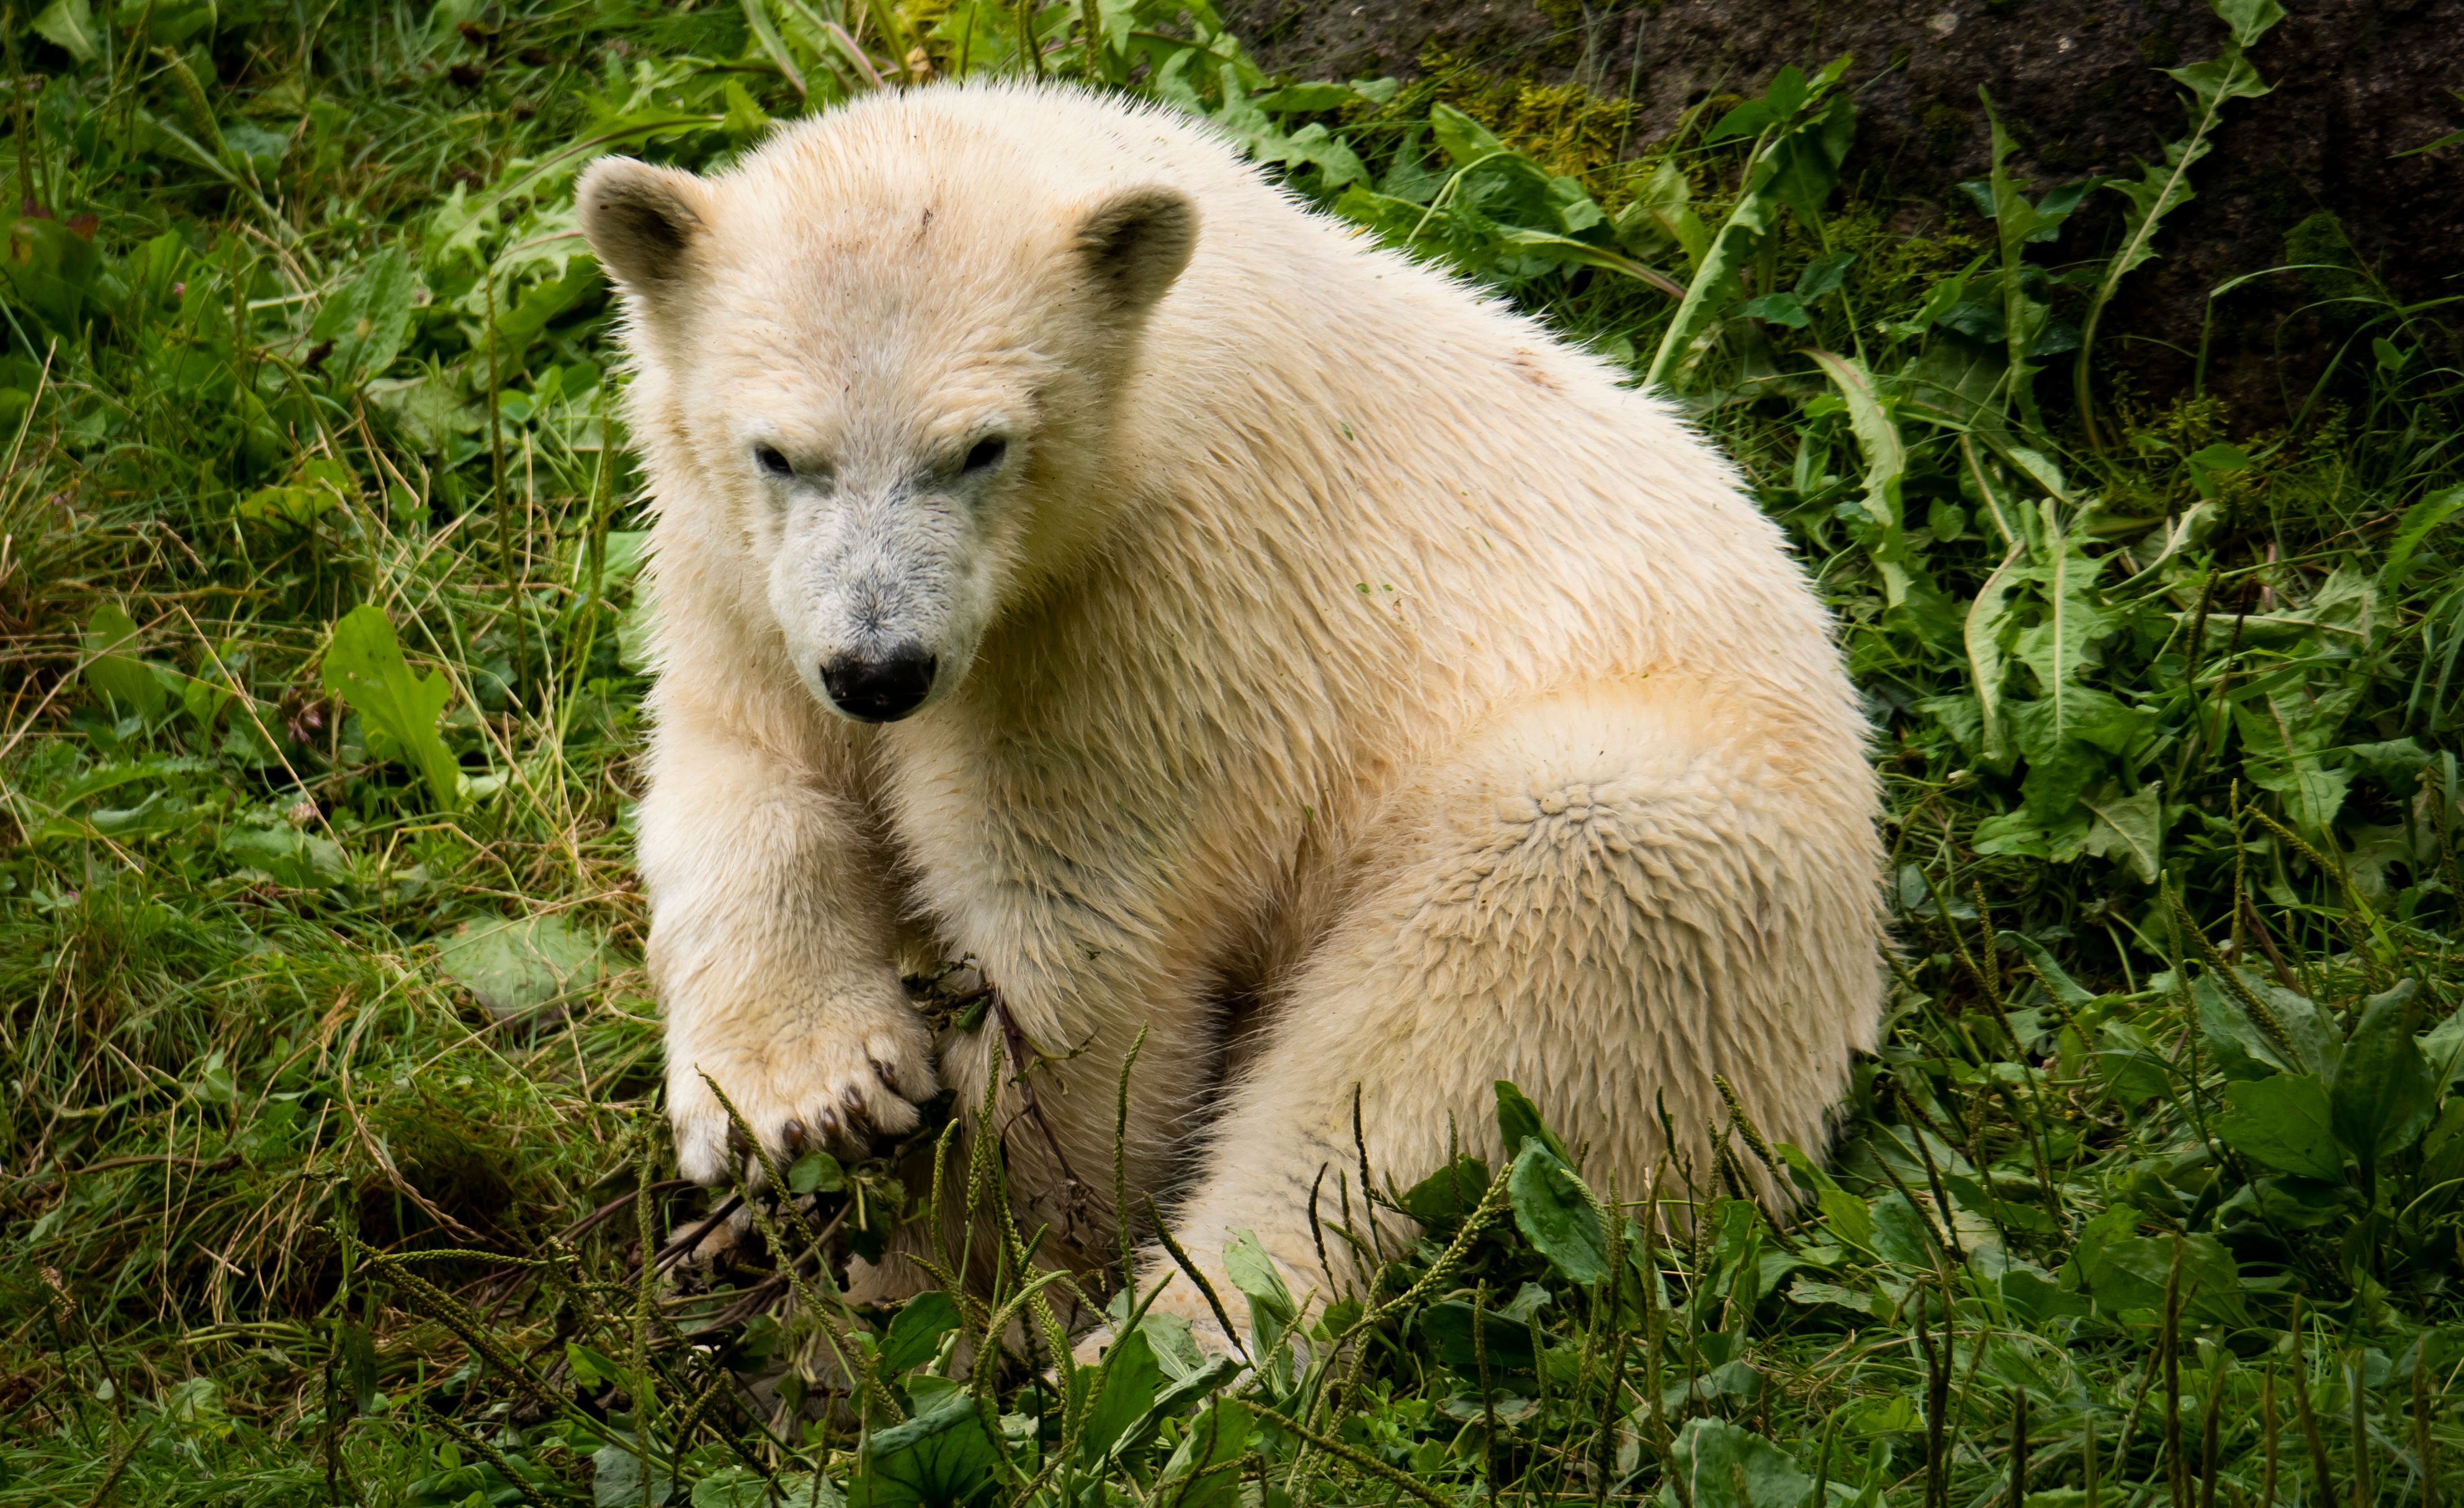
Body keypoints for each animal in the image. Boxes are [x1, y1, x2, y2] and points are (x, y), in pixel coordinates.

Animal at [576, 78, 1885, 1354]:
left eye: (982, 448)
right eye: (777, 451)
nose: (880, 670)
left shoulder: (1159, 601)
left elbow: (1084, 941)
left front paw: (972, 1283)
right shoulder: (739, 577)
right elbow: (747, 771)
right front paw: (803, 1100)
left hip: (1642, 851)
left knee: (1409, 1072)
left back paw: (1175, 1340)